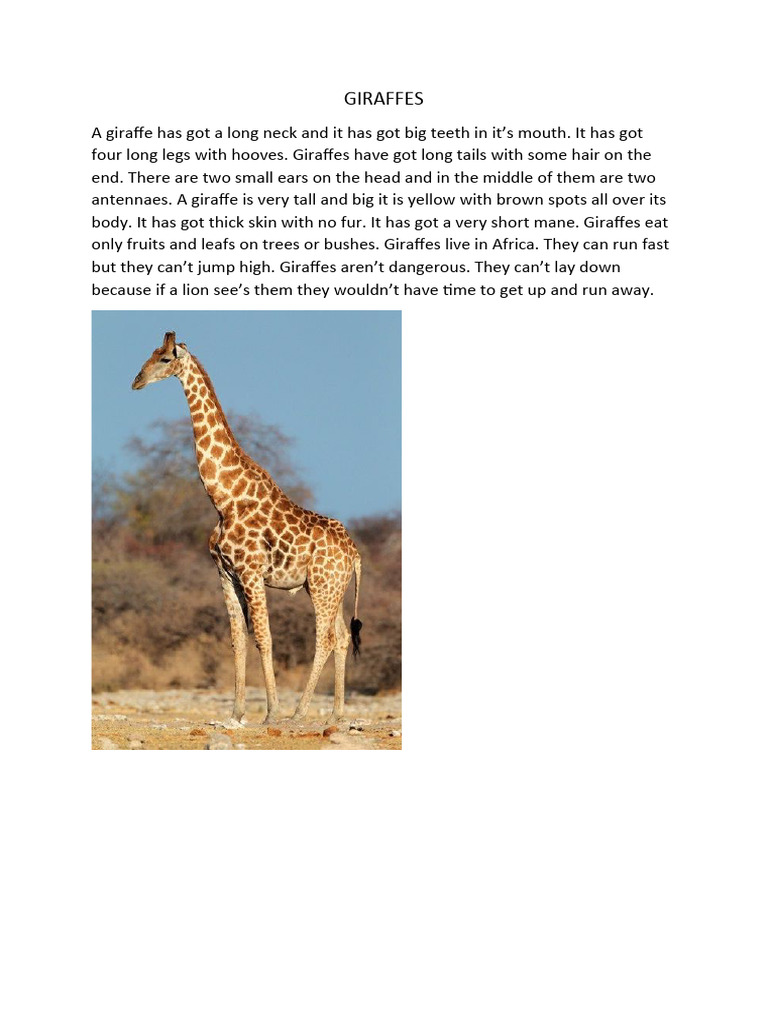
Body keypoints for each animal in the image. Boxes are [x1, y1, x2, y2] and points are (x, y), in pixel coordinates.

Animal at [131, 331, 362, 726]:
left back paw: (299, 712)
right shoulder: (226, 574)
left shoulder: (252, 573)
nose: (136, 381)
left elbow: (264, 638)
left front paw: (271, 712)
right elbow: (238, 639)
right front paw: (237, 711)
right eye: (150, 354)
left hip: (322, 587)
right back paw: (335, 714)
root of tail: (355, 552)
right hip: (333, 588)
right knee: (344, 636)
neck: (224, 498)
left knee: (326, 640)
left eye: (164, 358)